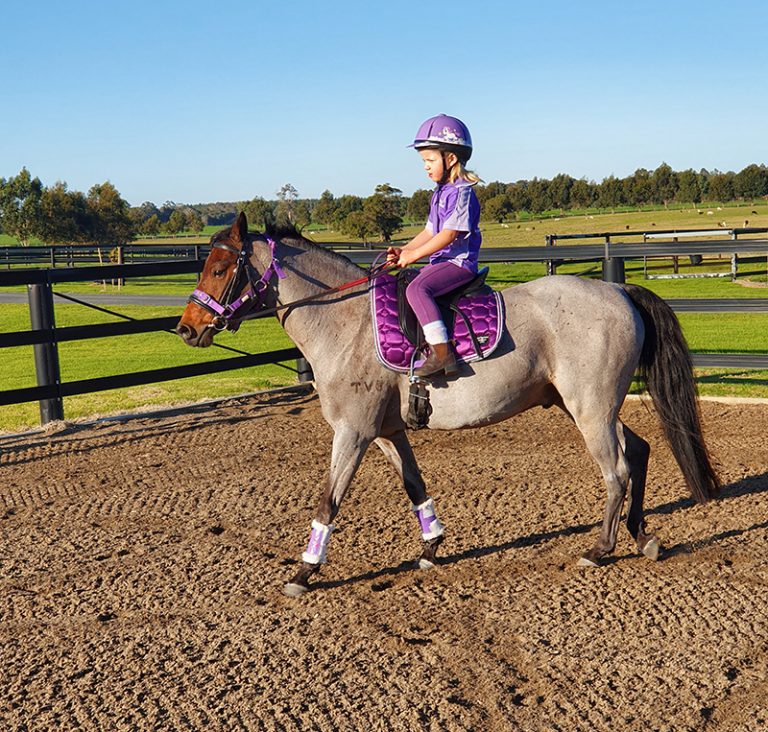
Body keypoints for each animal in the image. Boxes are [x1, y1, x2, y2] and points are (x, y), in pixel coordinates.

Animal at [176, 213, 719, 596]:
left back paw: (601, 548)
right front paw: (431, 546)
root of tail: (616, 288)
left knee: (617, 471)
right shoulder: (388, 433)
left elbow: (328, 499)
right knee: (639, 451)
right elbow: (414, 485)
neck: (348, 323)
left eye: (220, 268)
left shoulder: (353, 432)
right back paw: (641, 536)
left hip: (591, 410)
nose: (186, 328)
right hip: (586, 407)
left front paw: (305, 572)